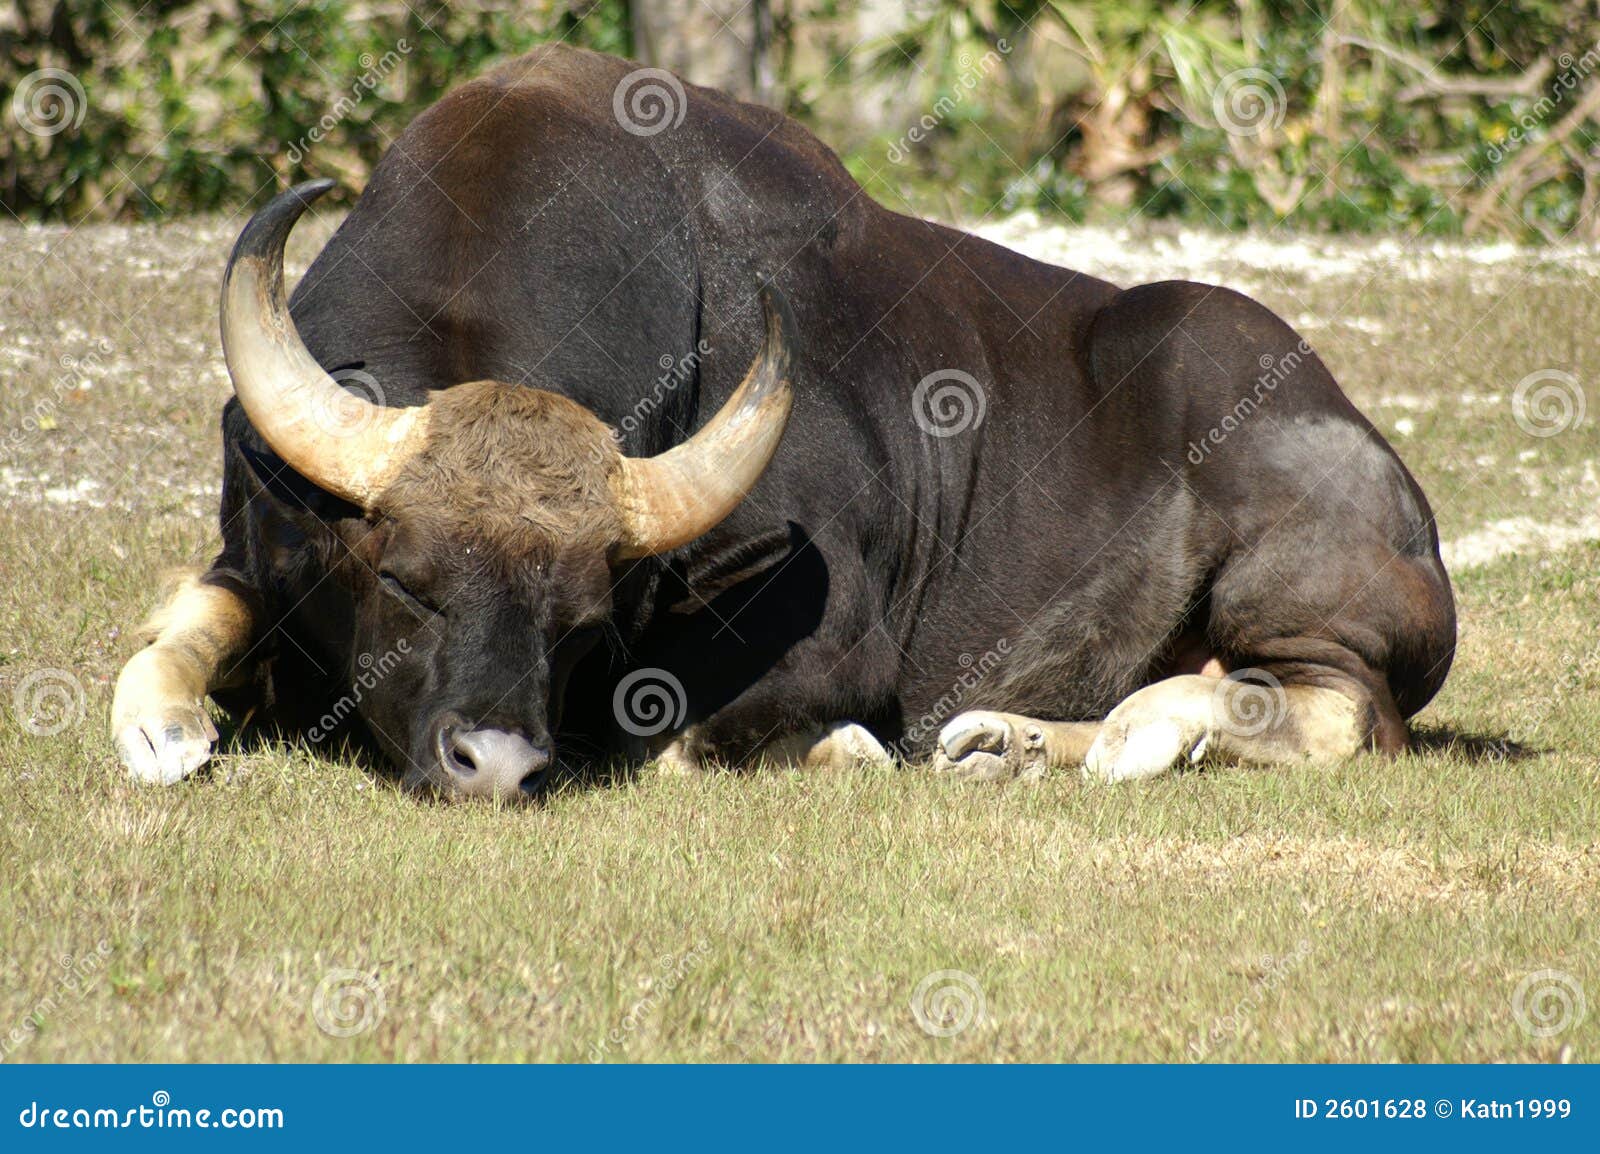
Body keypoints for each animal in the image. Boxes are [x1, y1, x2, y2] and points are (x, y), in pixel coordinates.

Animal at [111, 45, 1455, 800]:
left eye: (585, 618)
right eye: (402, 578)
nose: (494, 767)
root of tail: (1404, 499)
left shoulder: (826, 641)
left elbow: (670, 733)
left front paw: (840, 751)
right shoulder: (258, 546)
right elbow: (180, 622)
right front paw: (166, 724)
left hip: (1297, 584)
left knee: (1340, 712)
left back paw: (1134, 733)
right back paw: (1009, 744)